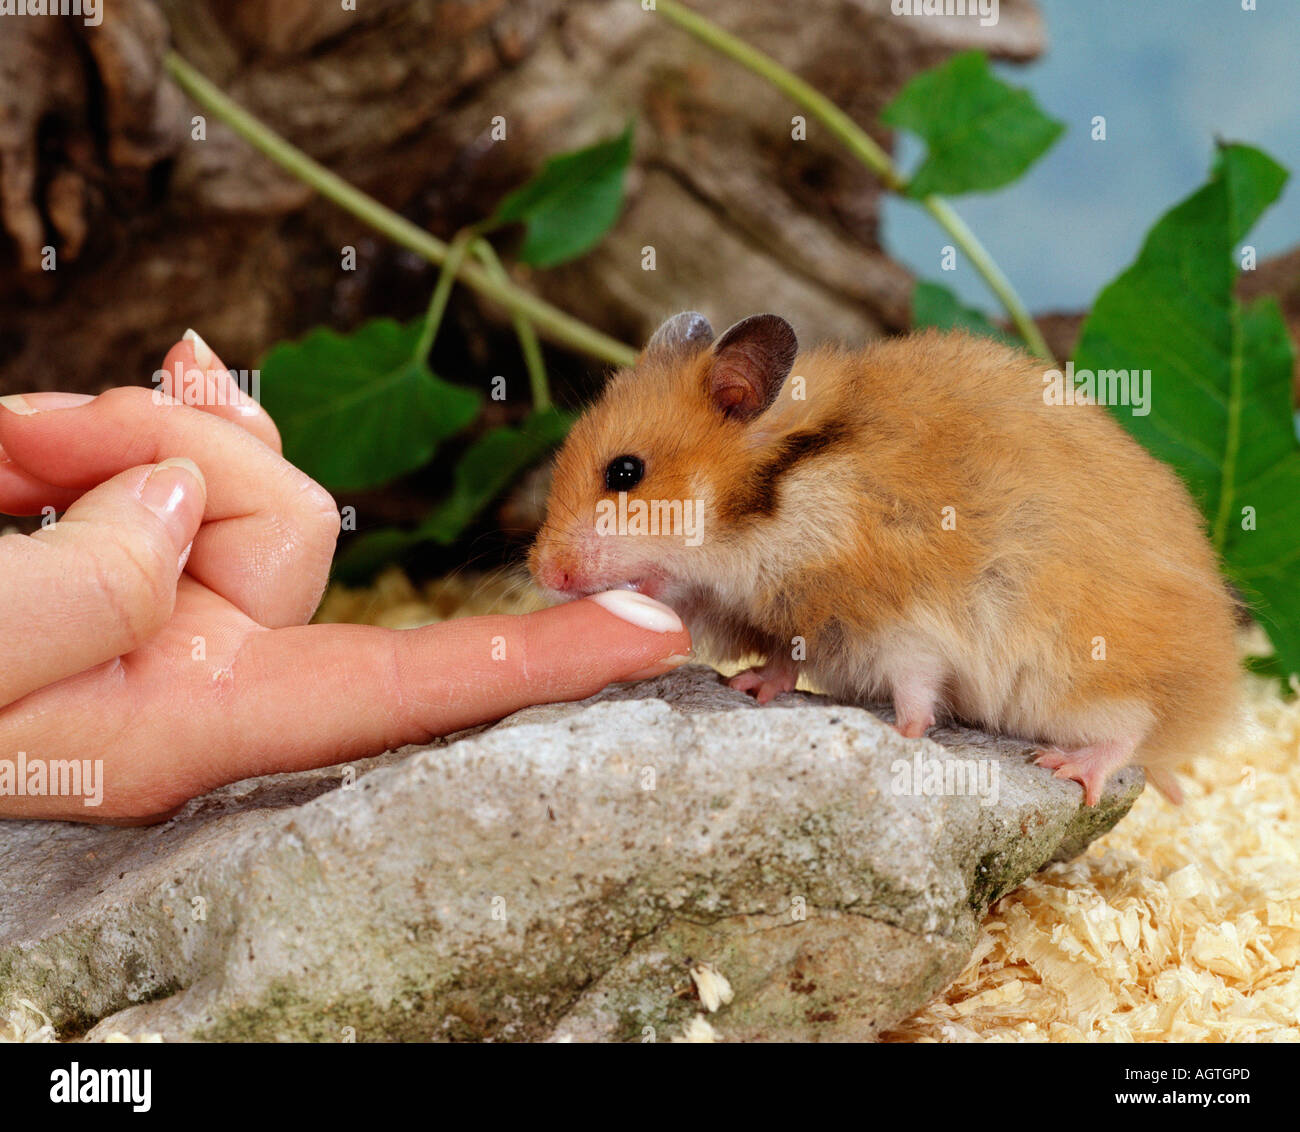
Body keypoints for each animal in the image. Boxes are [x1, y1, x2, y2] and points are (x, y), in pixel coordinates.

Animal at [529, 312, 1240, 805]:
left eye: (625, 472)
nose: (542, 573)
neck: (771, 504)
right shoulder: (800, 624)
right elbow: (786, 663)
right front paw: (747, 689)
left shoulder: (905, 623)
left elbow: (915, 687)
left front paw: (900, 738)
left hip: (1079, 677)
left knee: (1133, 729)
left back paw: (1068, 768)